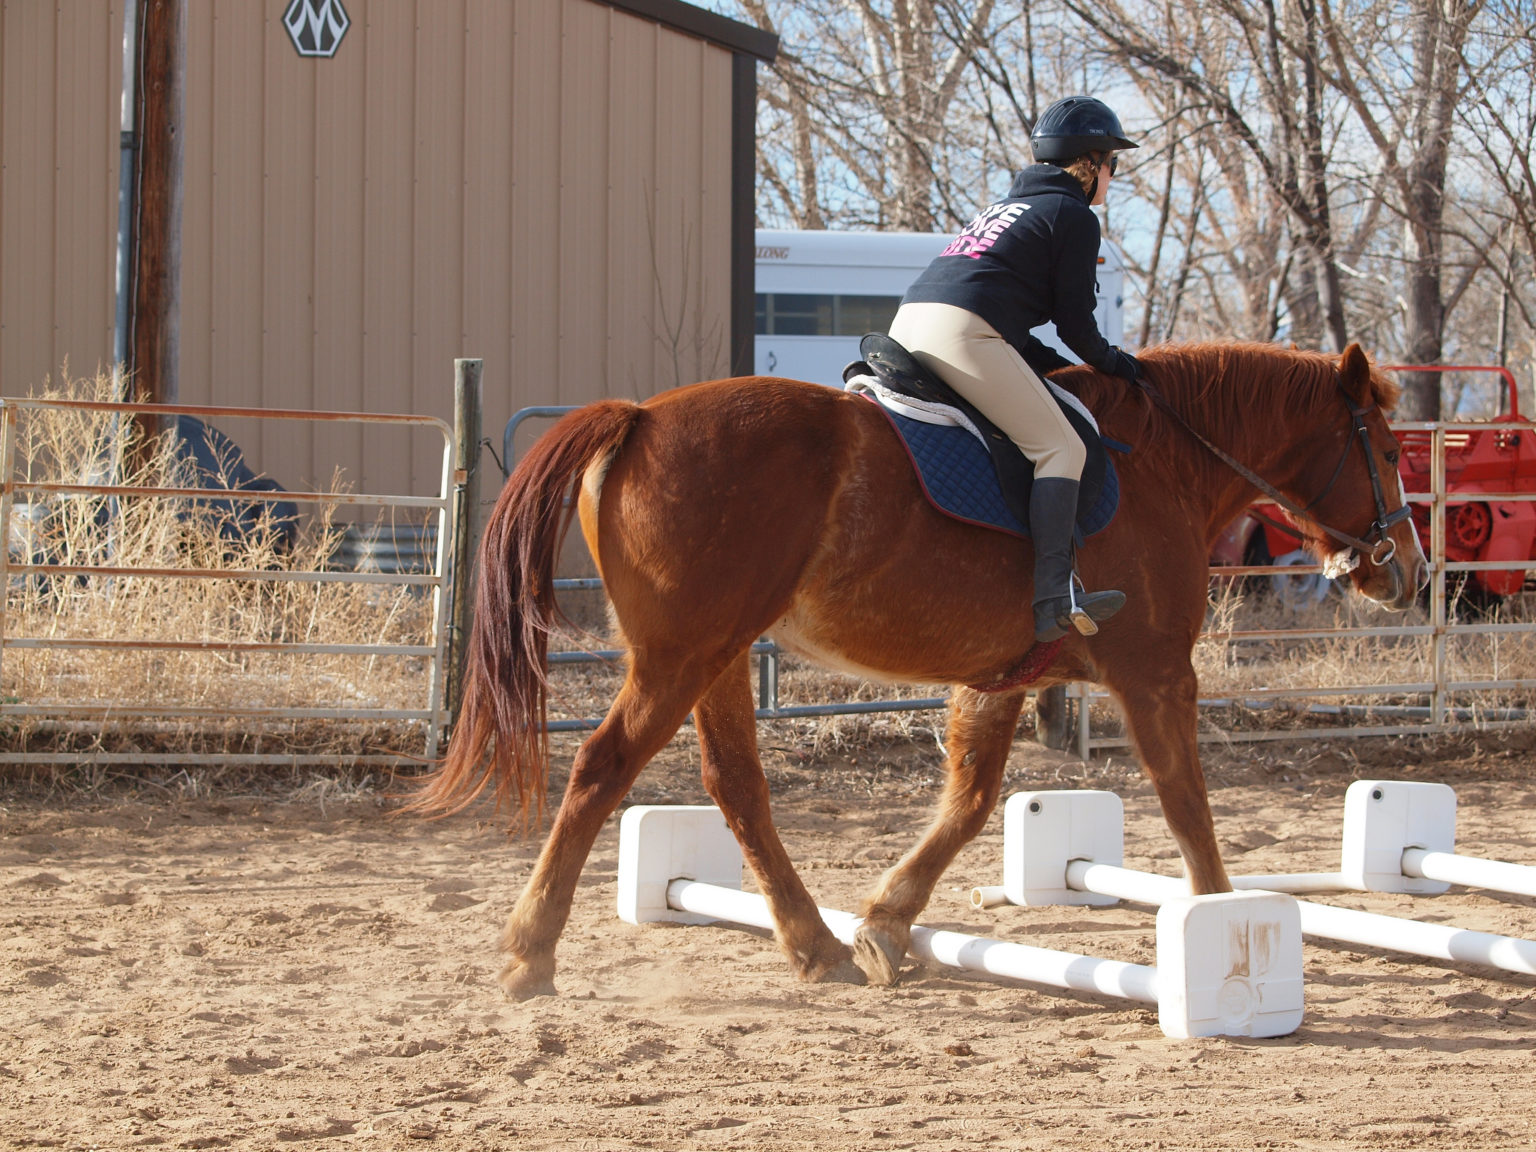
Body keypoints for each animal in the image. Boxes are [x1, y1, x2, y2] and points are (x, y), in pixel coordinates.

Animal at [408, 340, 1428, 998]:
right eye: (1386, 449)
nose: (1409, 571)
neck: (1164, 460)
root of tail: (641, 418)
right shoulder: (1157, 676)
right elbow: (1187, 806)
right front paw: (1222, 921)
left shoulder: (1000, 678)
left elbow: (968, 804)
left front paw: (886, 924)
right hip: (680, 655)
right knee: (600, 770)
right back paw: (529, 955)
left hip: (719, 654)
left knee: (735, 785)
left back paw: (815, 948)